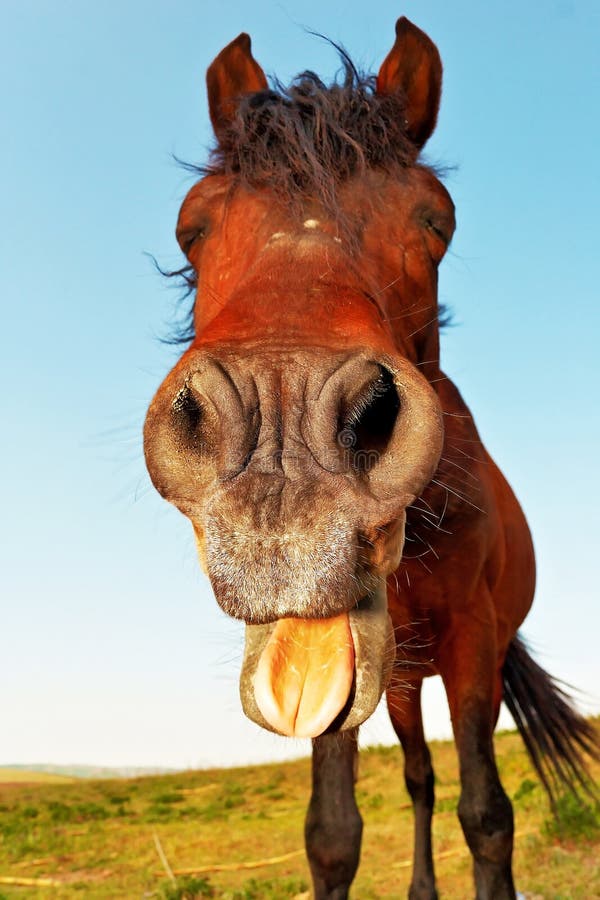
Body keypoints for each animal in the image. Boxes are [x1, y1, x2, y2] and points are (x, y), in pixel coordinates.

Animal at [144, 17, 596, 899]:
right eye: (191, 226)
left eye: (437, 221)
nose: (282, 441)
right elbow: (332, 833)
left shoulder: (471, 641)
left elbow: (487, 816)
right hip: (401, 682)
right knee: (418, 776)